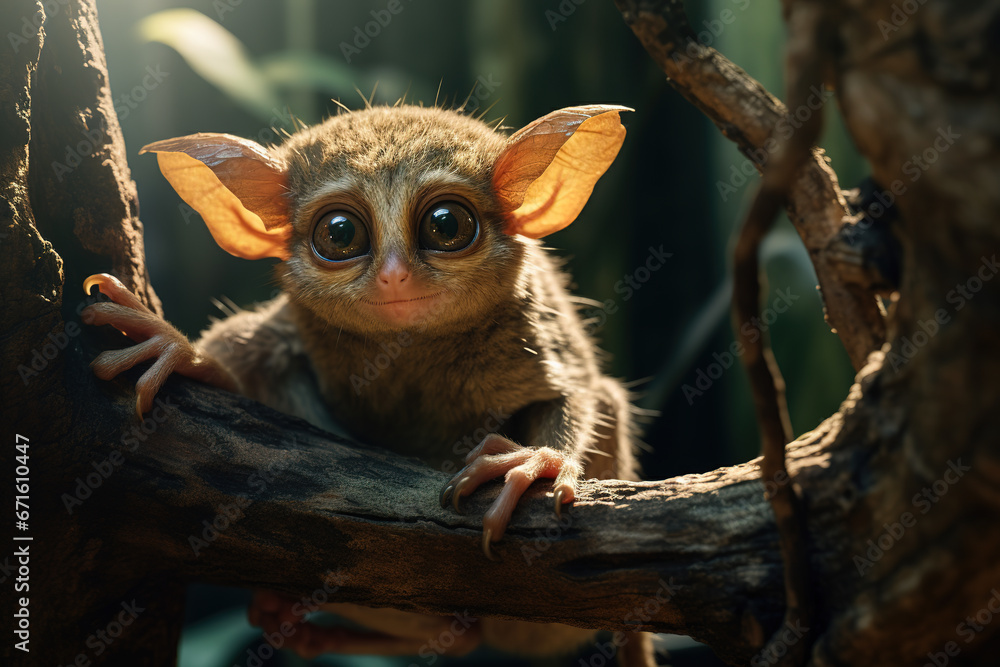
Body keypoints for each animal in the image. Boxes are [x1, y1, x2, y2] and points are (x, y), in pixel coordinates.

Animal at [82, 103, 656, 666]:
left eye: (446, 225)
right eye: (340, 234)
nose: (394, 275)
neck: (406, 347)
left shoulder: (532, 329)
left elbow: (578, 391)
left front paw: (534, 462)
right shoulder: (287, 333)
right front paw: (181, 352)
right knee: (457, 635)